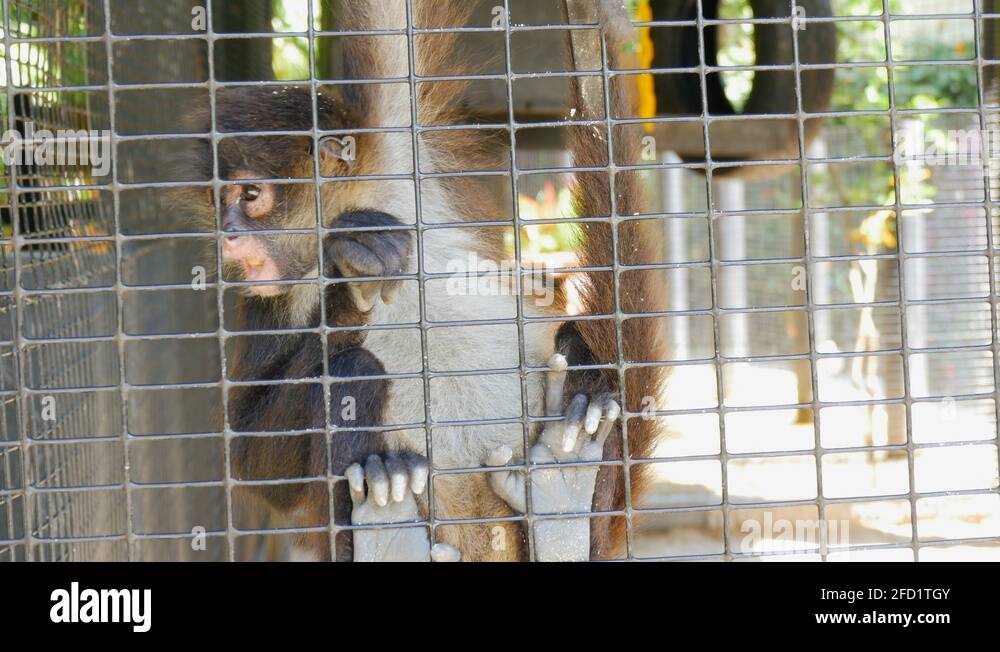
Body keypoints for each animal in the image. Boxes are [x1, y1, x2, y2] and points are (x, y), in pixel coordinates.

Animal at [179, 0, 667, 562]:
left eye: (251, 195)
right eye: (219, 200)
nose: (230, 233)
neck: (353, 202)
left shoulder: (398, 150)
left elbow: (396, 22)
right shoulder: (272, 295)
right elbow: (253, 465)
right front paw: (349, 282)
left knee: (575, 347)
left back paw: (559, 504)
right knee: (353, 371)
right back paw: (388, 528)